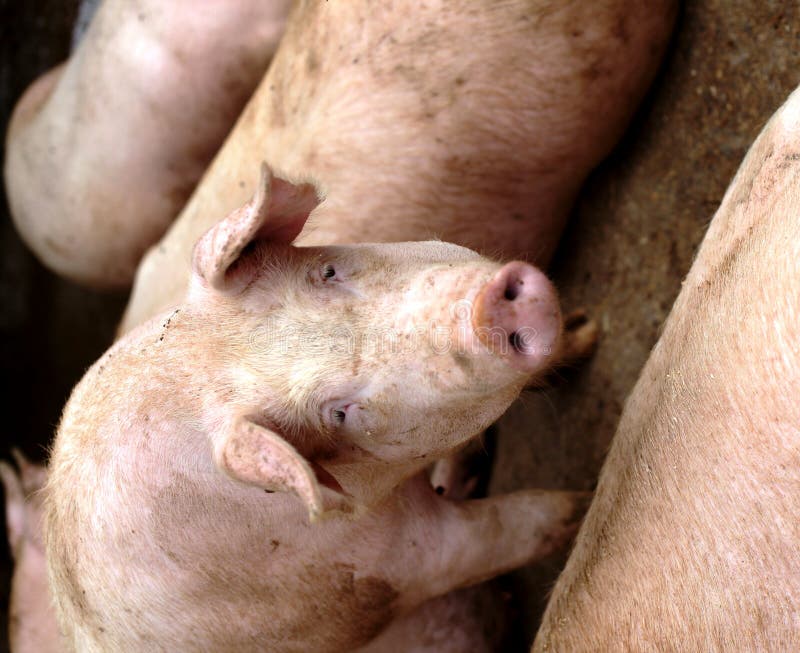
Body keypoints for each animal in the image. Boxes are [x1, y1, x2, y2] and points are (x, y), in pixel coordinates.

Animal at [44, 165, 590, 653]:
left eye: (326, 271)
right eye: (339, 413)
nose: (486, 310)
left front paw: (587, 330)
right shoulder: (390, 560)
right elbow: (510, 527)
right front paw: (582, 505)